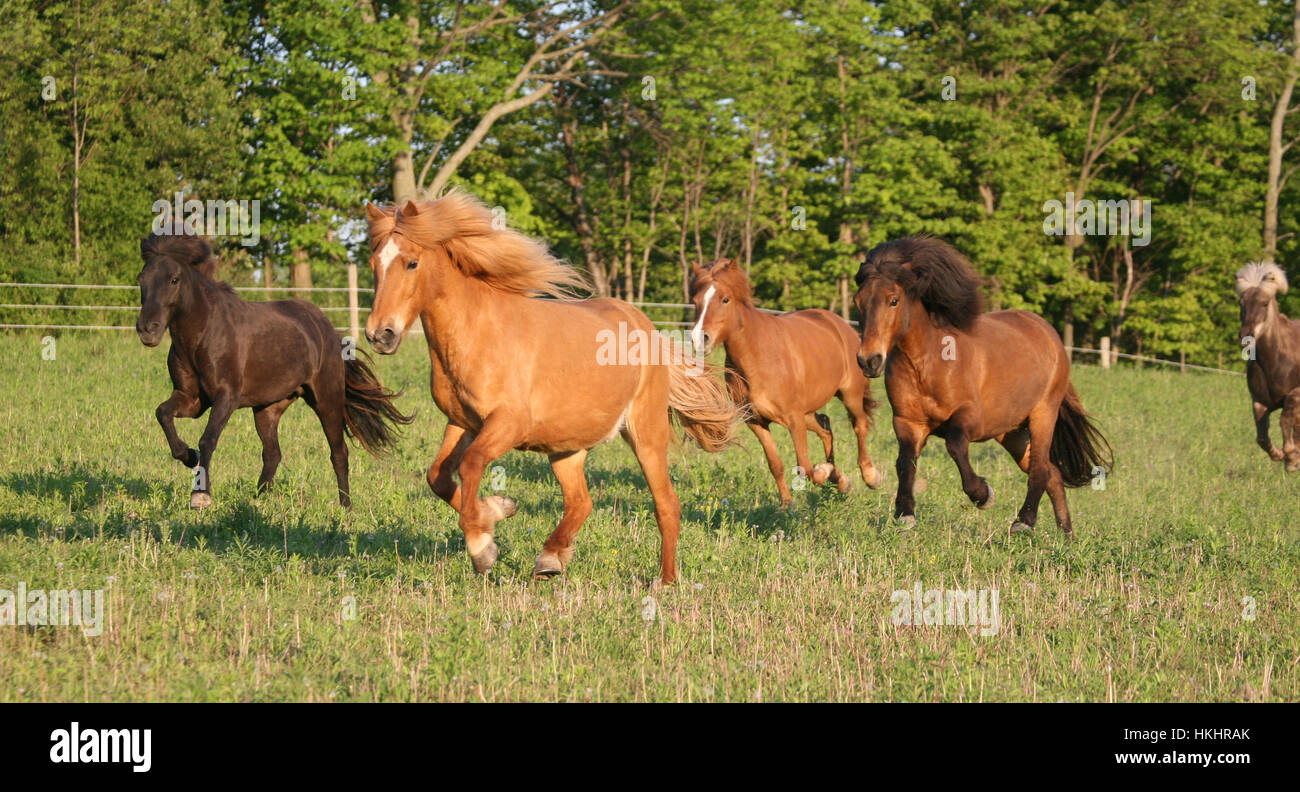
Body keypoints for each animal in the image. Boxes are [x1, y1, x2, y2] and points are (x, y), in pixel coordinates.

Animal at [136, 231, 412, 509]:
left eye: (174, 279)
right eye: (141, 280)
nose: (147, 329)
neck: (202, 334)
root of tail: (327, 329)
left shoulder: (226, 397)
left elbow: (208, 439)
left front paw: (200, 495)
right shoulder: (192, 399)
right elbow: (162, 414)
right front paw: (188, 455)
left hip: (326, 400)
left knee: (338, 452)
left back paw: (346, 507)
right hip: (267, 409)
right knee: (273, 454)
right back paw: (257, 502)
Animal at [363, 192, 741, 585]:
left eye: (411, 262)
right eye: (374, 263)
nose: (380, 334)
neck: (478, 332)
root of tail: (646, 326)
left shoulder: (508, 423)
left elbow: (471, 465)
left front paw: (482, 546)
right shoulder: (462, 423)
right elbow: (437, 476)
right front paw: (498, 512)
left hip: (646, 434)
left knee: (666, 503)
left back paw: (664, 581)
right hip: (566, 448)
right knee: (581, 502)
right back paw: (550, 559)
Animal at [688, 258, 881, 505]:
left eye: (725, 299)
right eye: (695, 302)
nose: (699, 339)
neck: (758, 357)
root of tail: (839, 324)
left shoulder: (793, 419)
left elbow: (805, 467)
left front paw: (823, 472)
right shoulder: (756, 421)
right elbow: (776, 465)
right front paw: (787, 504)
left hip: (849, 395)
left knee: (860, 425)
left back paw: (869, 476)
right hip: (808, 412)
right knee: (825, 427)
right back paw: (839, 480)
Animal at [852, 236, 1111, 535]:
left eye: (893, 300)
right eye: (858, 301)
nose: (869, 361)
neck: (928, 363)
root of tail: (1048, 333)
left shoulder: (970, 418)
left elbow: (954, 445)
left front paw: (983, 494)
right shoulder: (907, 422)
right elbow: (905, 462)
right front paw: (905, 514)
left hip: (1043, 415)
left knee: (1040, 470)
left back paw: (1024, 522)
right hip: (1011, 432)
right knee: (1052, 474)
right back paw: (1065, 535)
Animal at [1235, 262, 1300, 470]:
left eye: (1264, 303)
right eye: (1241, 303)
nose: (1246, 335)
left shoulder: (1295, 395)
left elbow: (1285, 421)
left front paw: (1291, 458)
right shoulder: (1259, 402)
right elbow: (1262, 438)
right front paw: (1281, 455)